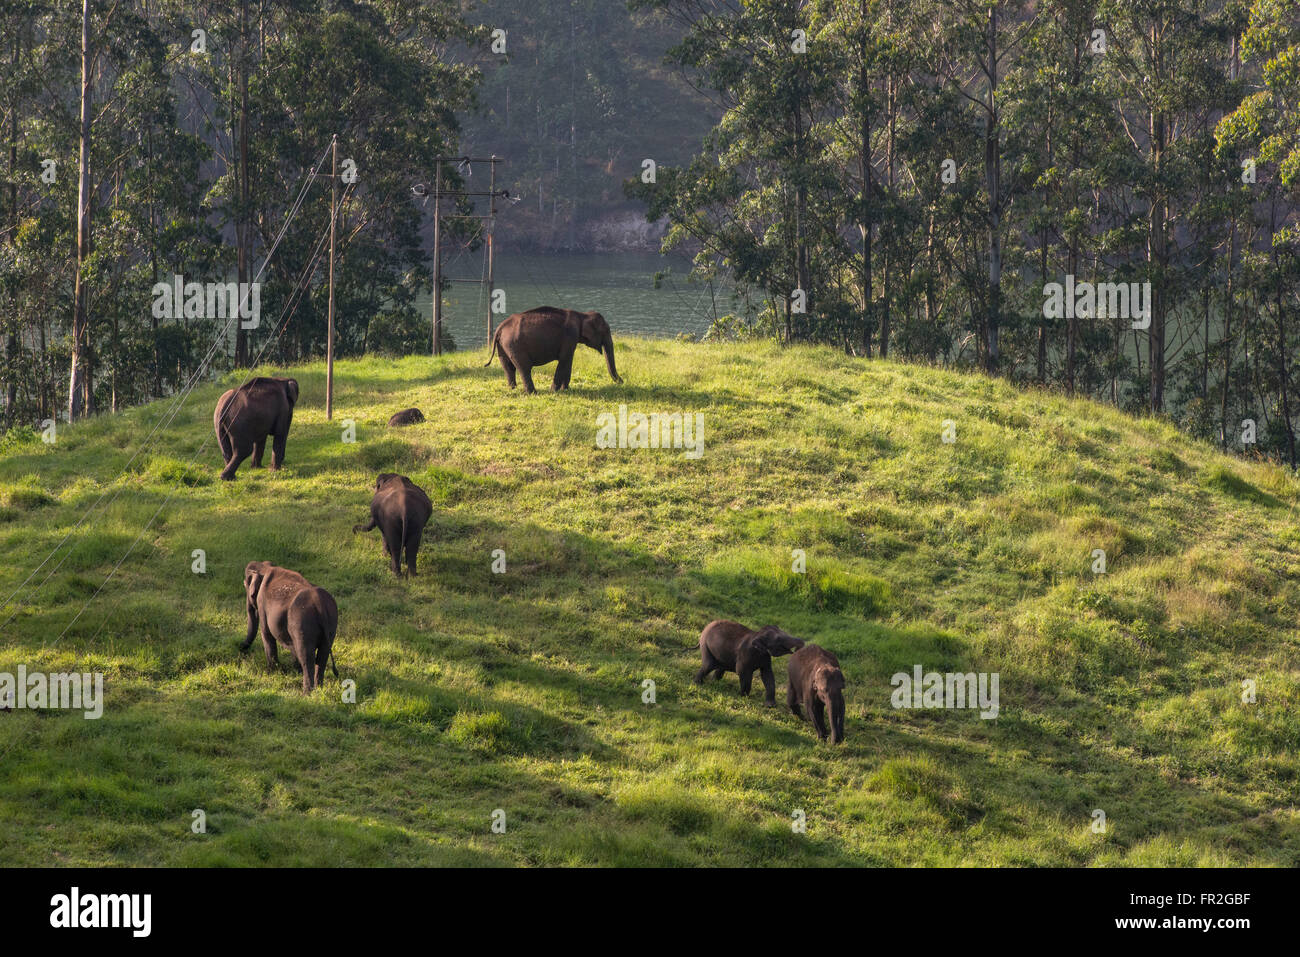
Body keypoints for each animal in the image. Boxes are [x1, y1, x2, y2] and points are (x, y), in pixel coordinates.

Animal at [239, 561, 338, 694]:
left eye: (245, 584)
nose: (240, 647)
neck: (265, 566)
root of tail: (319, 604)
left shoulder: (261, 603)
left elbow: (266, 634)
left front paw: (272, 672)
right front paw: (295, 670)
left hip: (302, 623)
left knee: (307, 657)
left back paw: (306, 693)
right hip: (332, 623)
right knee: (323, 655)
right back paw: (319, 689)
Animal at [484, 306, 621, 393]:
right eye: (605, 331)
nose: (622, 382)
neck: (582, 315)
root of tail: (500, 328)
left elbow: (568, 361)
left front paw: (566, 389)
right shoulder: (570, 336)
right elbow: (564, 360)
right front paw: (554, 391)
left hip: (503, 346)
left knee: (508, 367)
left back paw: (513, 389)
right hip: (514, 346)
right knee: (524, 368)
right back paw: (533, 393)